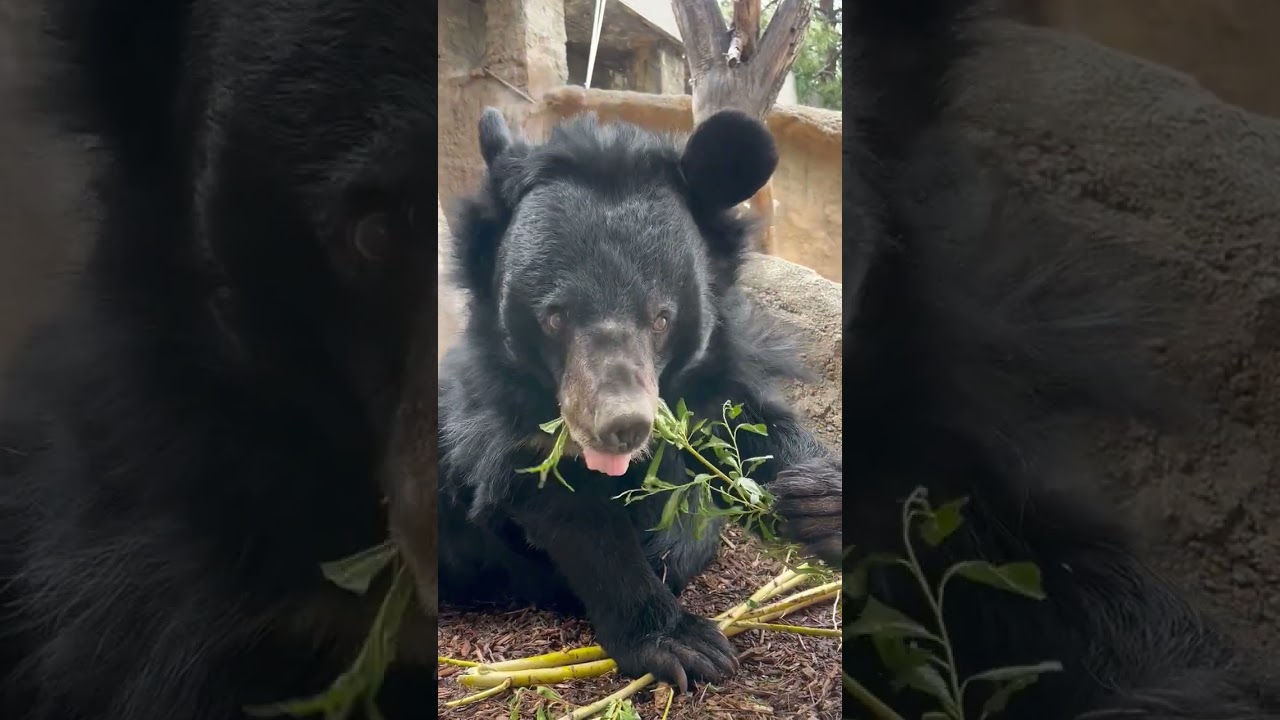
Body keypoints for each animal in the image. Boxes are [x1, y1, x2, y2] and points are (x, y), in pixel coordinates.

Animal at [437, 108, 844, 693]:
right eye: (554, 317)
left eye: (661, 318)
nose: (621, 426)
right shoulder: (501, 429)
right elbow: (576, 518)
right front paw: (682, 642)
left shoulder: (715, 375)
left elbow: (751, 426)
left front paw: (818, 498)